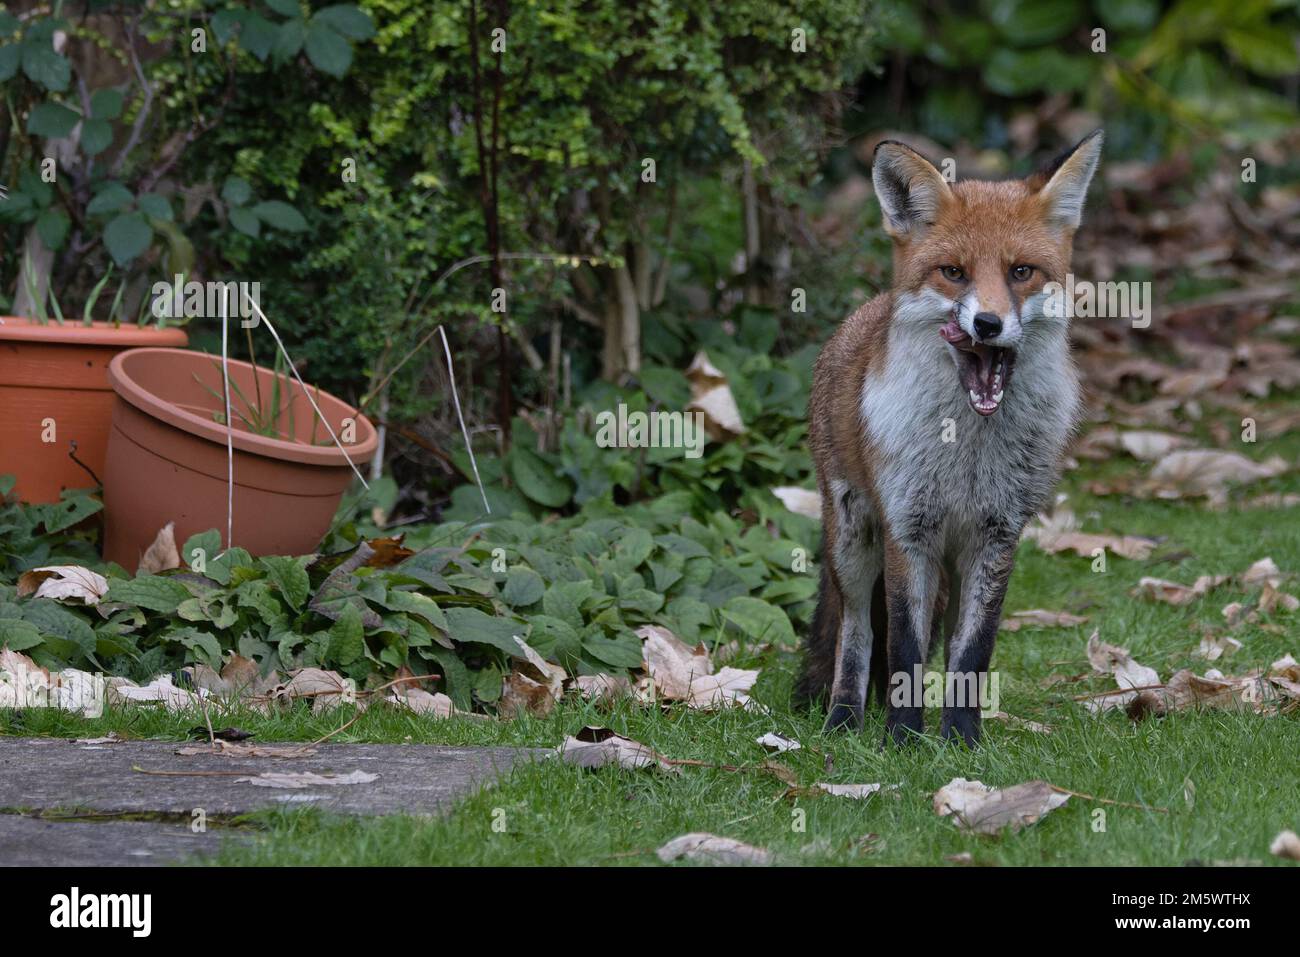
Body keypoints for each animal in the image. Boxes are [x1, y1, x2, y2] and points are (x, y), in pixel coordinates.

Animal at [794, 130, 1104, 747]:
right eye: (954, 273)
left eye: (1021, 272)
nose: (987, 324)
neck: (967, 451)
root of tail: (864, 312)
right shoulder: (908, 531)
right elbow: (905, 649)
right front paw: (901, 742)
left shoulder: (998, 537)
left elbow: (971, 652)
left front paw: (961, 740)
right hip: (852, 540)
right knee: (856, 633)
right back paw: (844, 719)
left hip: (954, 566)